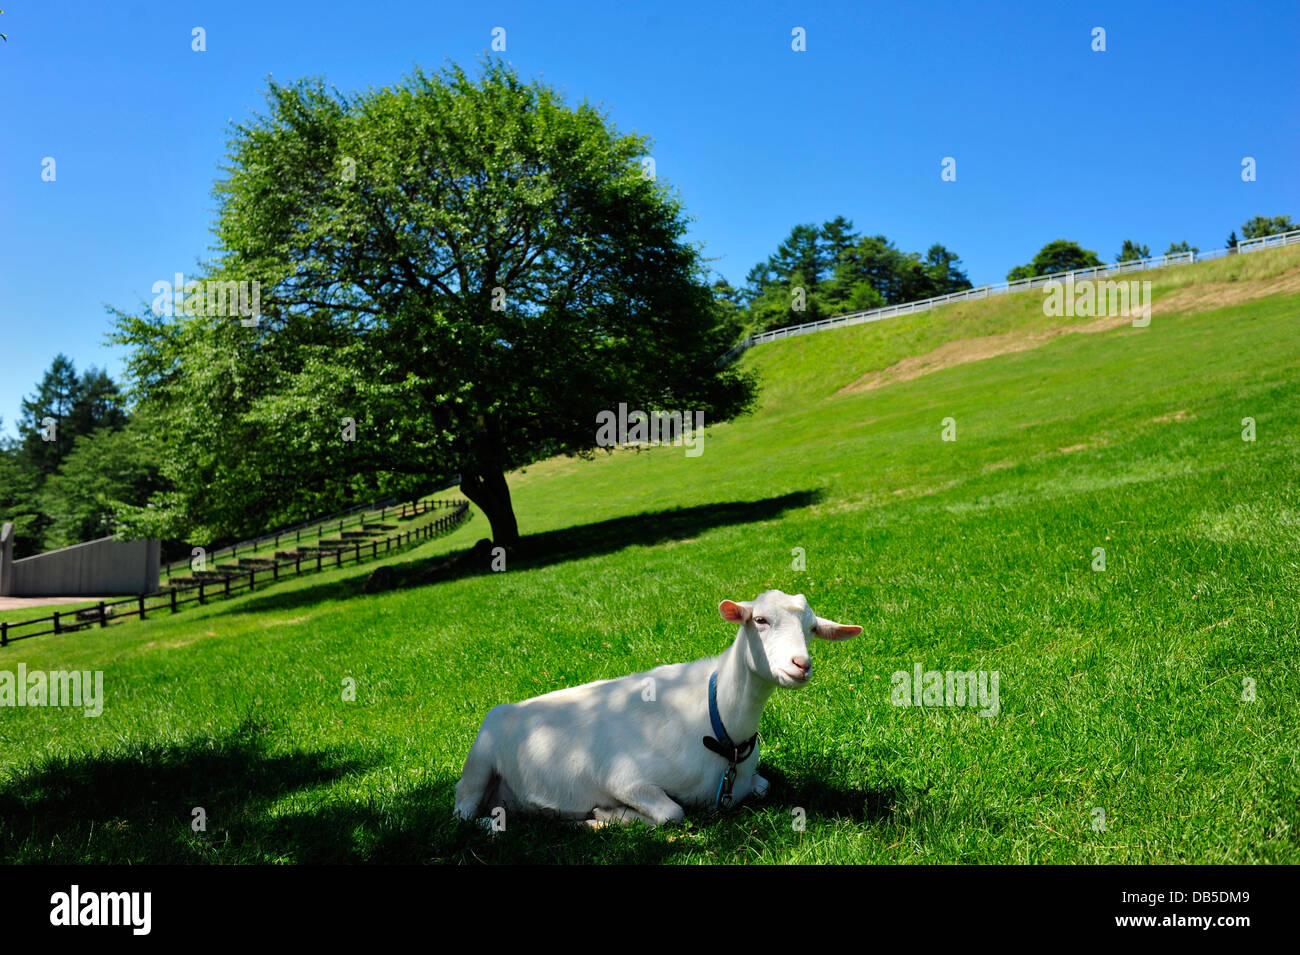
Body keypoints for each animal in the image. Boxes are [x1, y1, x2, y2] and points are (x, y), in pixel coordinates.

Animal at [453, 589, 861, 826]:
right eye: (759, 620)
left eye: (811, 628)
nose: (800, 665)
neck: (719, 723)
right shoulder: (622, 776)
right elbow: (671, 812)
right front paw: (608, 815)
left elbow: (763, 787)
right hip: (479, 759)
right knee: (463, 809)